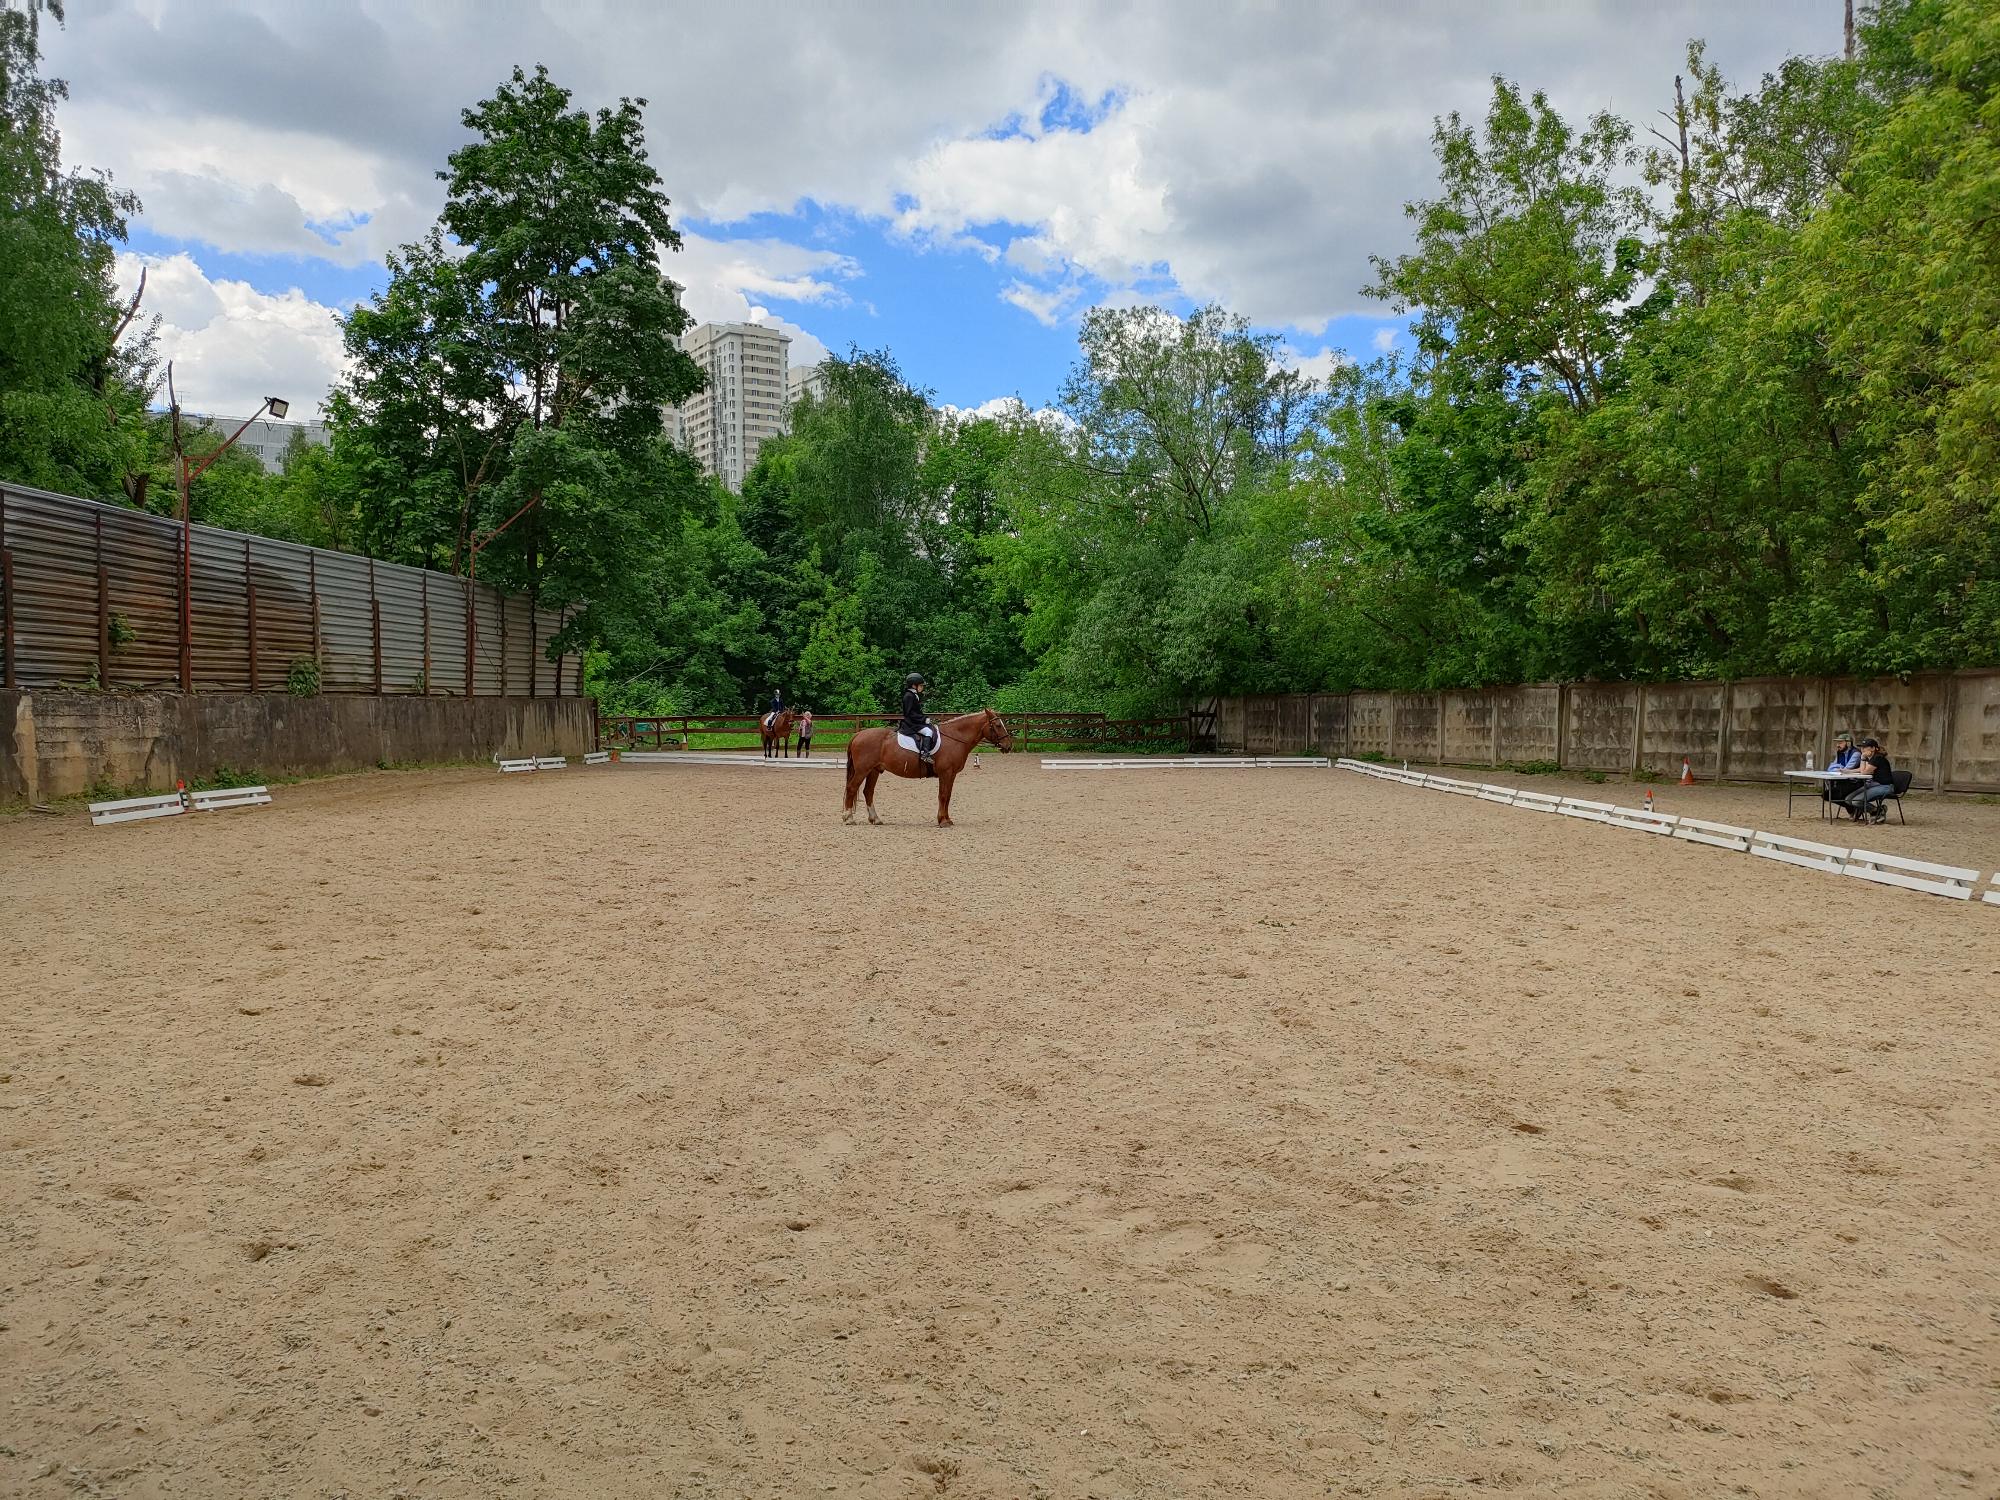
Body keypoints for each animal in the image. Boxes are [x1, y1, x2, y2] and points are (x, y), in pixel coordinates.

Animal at [843, 708, 1015, 827]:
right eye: (998, 725)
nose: (1008, 746)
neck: (955, 738)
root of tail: (858, 735)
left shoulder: (951, 775)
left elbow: (948, 796)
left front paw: (947, 819)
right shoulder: (946, 773)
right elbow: (943, 795)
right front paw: (942, 821)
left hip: (874, 771)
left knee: (868, 792)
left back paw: (875, 819)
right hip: (862, 770)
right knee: (852, 788)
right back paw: (848, 818)